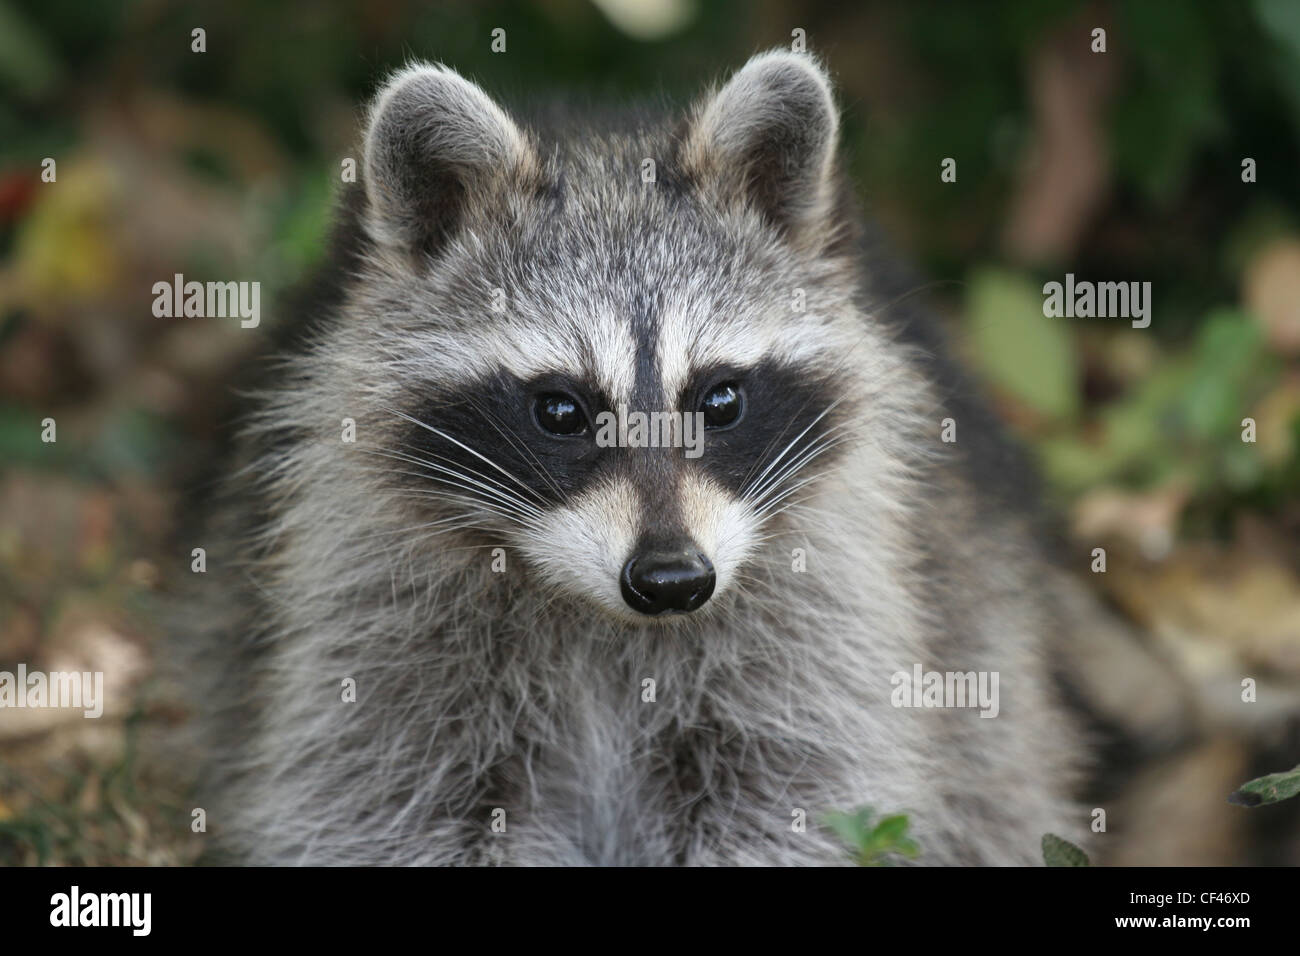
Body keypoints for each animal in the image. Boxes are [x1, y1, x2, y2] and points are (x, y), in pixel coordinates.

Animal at [183, 50, 1084, 865]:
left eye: (719, 400)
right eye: (561, 411)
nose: (671, 579)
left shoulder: (823, 606)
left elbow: (797, 788)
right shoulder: (372, 606)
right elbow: (377, 798)